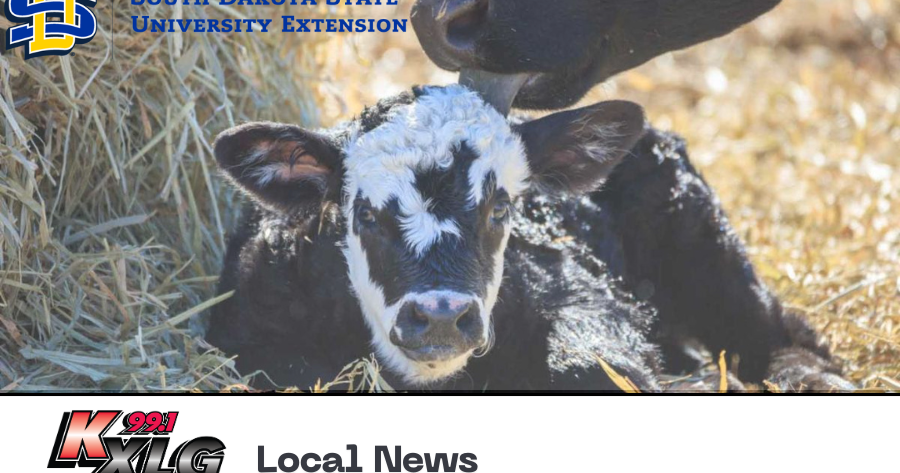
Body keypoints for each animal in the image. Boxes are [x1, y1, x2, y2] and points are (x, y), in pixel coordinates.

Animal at [206, 85, 852, 391]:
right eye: (363, 215)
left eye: (502, 208)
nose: (441, 317)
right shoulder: (249, 335)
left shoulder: (585, 294)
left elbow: (591, 365)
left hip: (703, 242)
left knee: (779, 331)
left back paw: (812, 380)